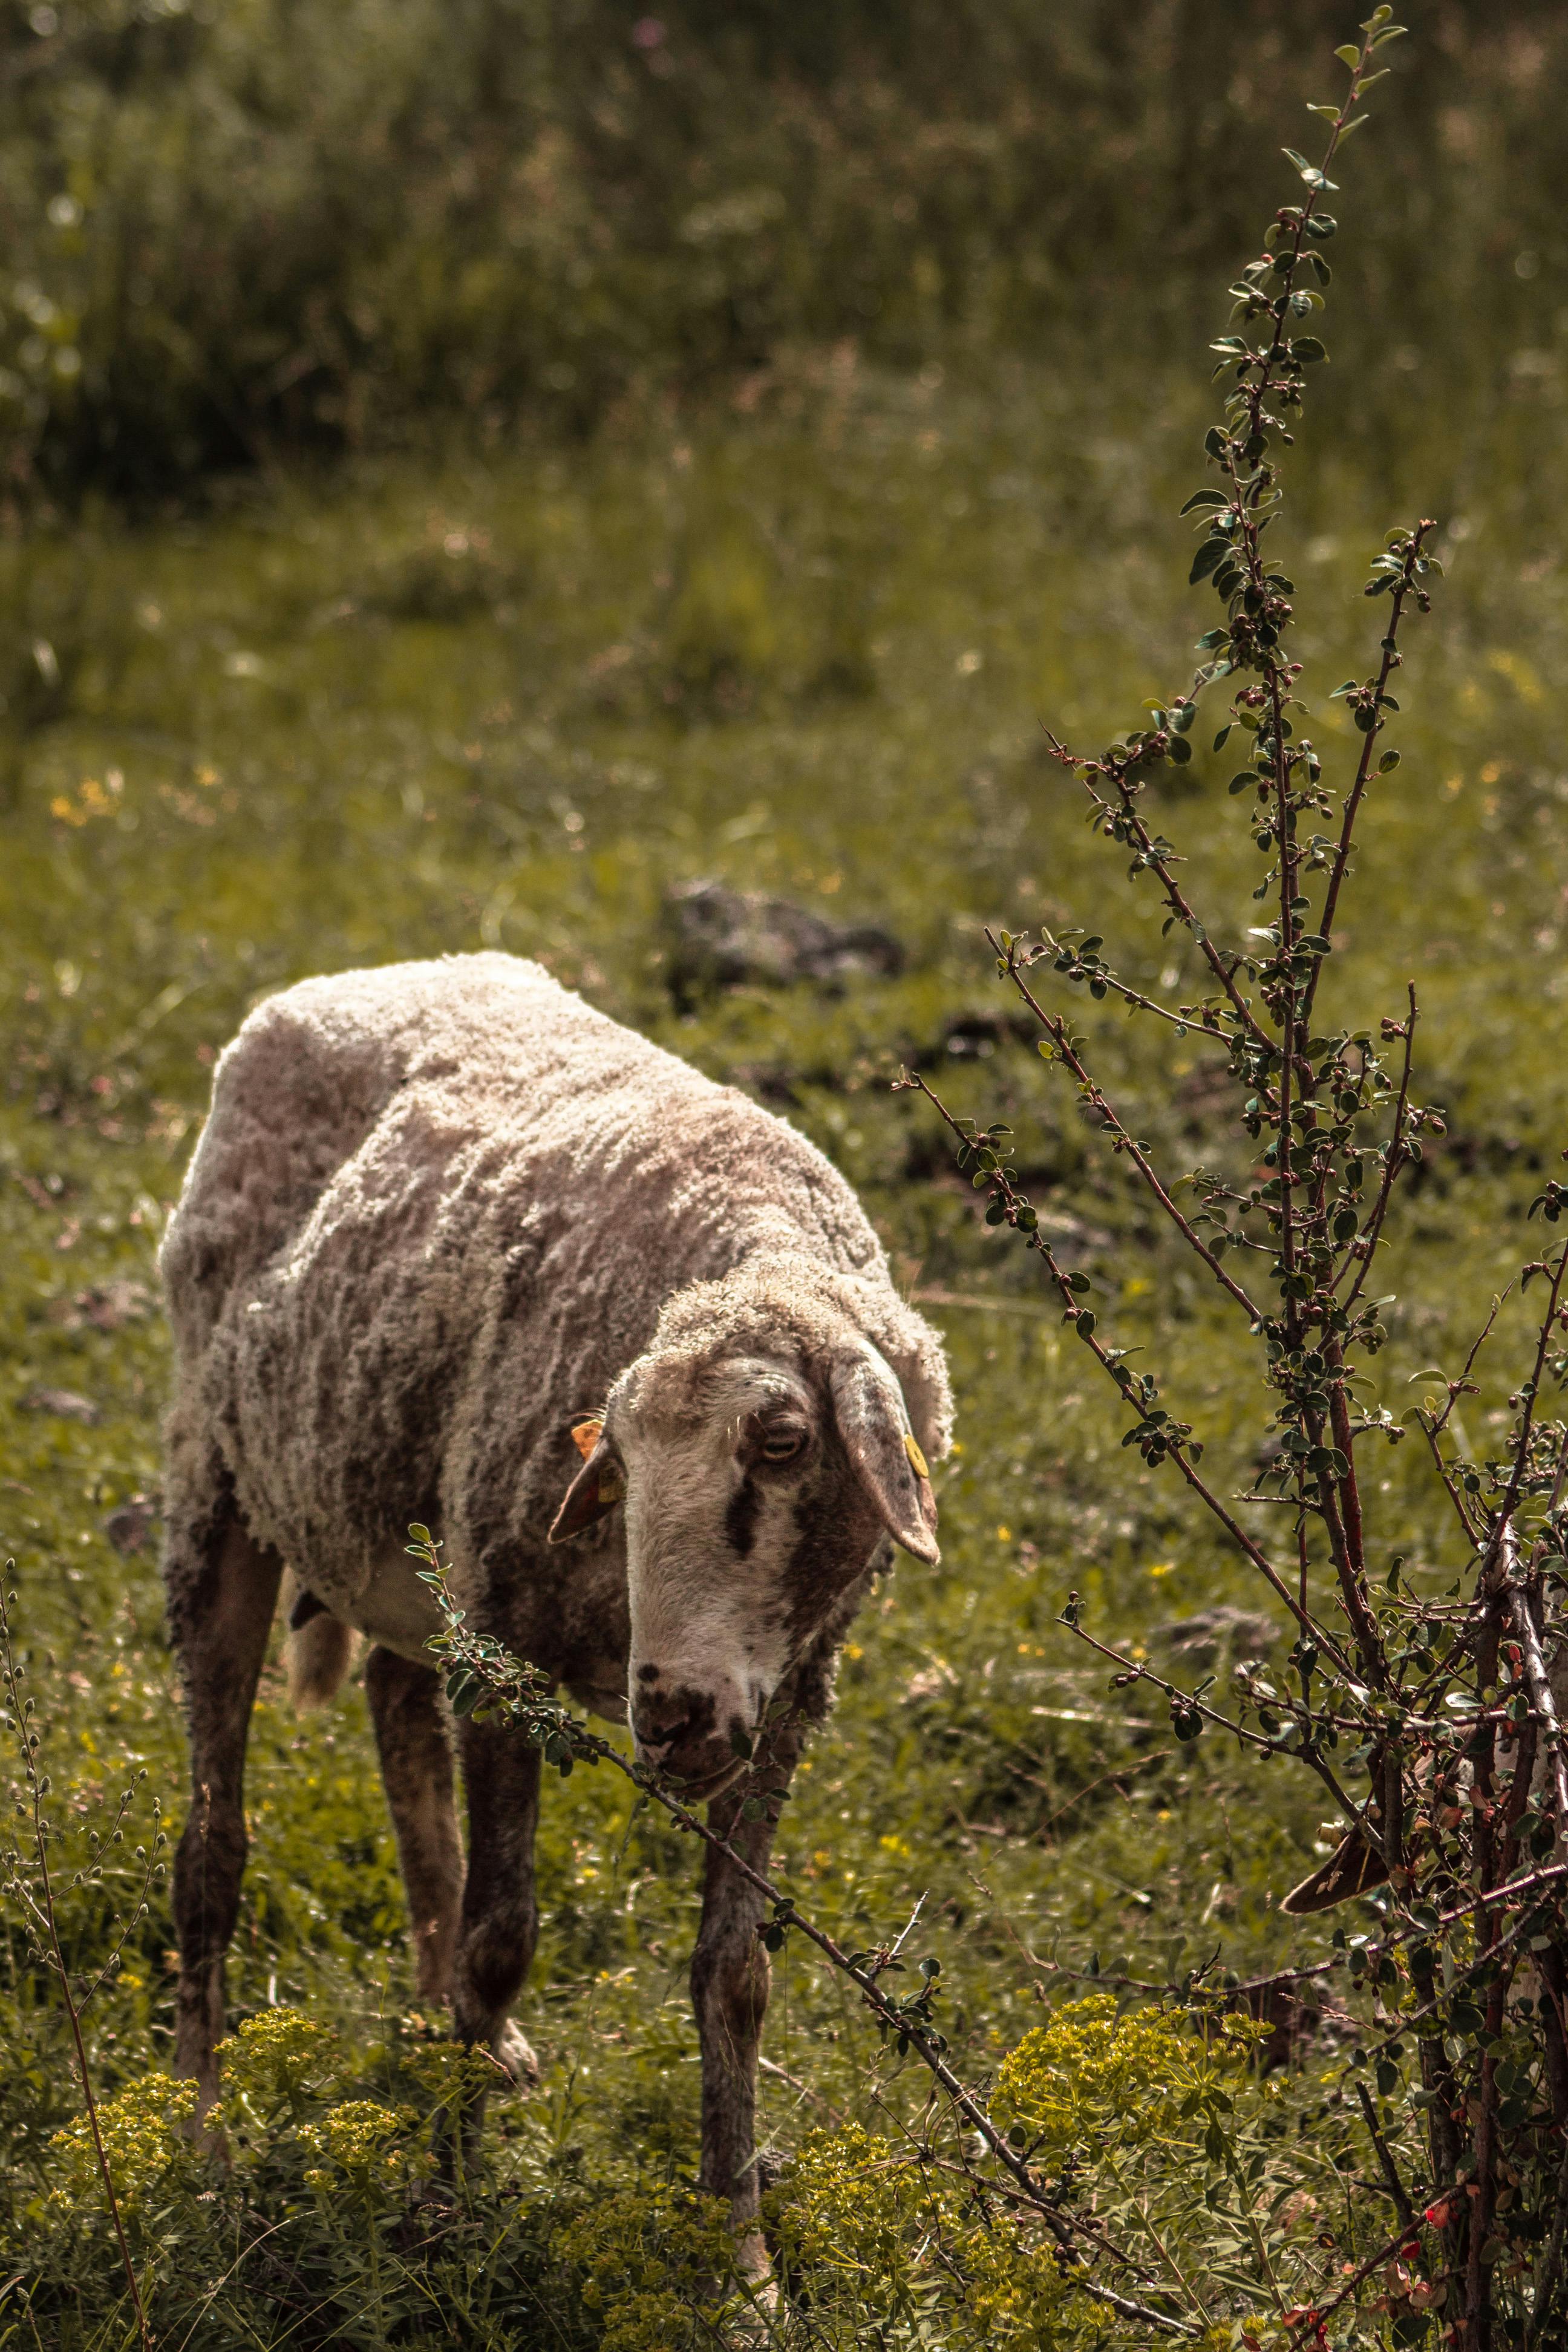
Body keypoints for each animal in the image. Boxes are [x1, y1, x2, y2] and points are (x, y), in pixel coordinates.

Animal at [160, 950, 951, 2255]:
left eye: (783, 1442)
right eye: (615, 1457)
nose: (669, 1713)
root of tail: (359, 975)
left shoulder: (790, 1694)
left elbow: (734, 1975)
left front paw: (741, 2256)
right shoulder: (508, 1647)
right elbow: (501, 1942)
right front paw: (447, 2207)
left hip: (417, 1549)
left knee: (397, 1714)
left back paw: (450, 2038)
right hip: (217, 1484)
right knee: (213, 1846)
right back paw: (201, 2128)